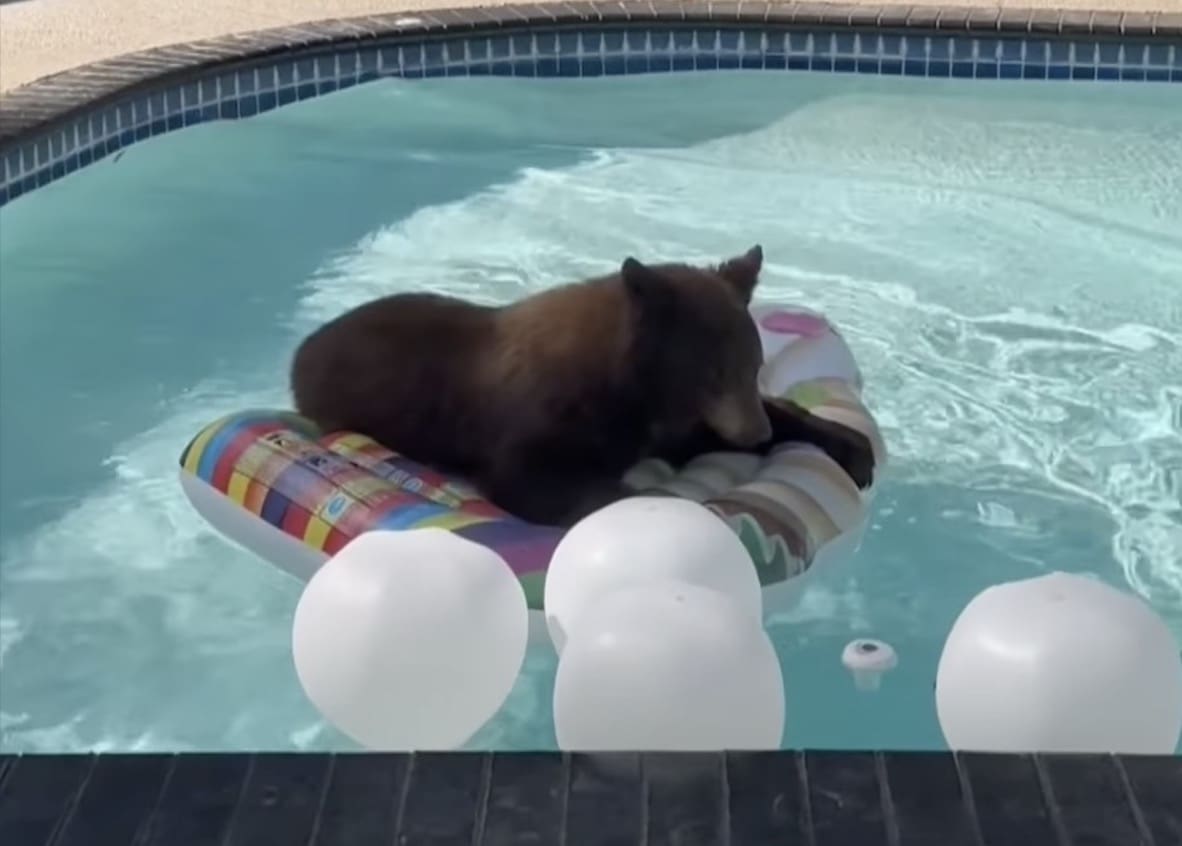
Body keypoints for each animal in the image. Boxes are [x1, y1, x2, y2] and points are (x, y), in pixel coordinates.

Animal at [290, 246, 875, 527]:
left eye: (754, 365)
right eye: (714, 371)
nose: (754, 435)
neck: (634, 384)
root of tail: (301, 352)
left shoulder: (666, 422)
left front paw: (851, 447)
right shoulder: (541, 421)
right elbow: (534, 480)